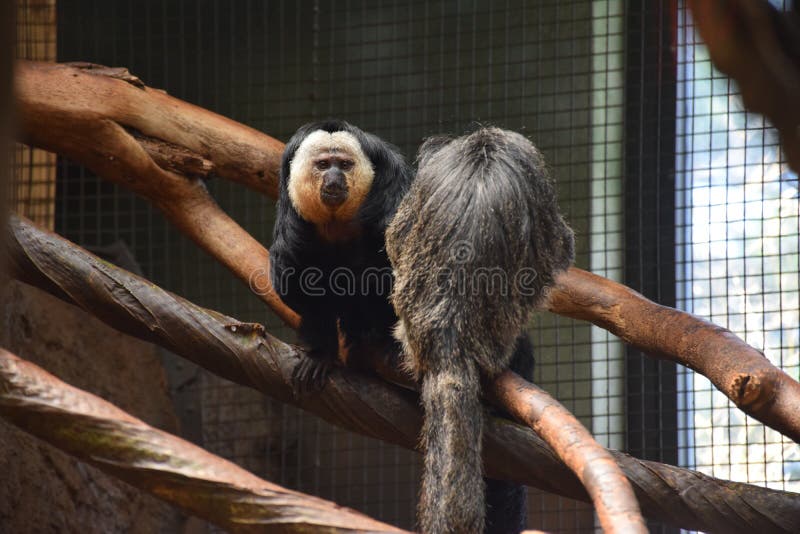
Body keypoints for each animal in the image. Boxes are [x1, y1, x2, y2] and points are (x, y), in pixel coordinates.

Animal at [270, 119, 413, 389]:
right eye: (323, 165)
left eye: (344, 165)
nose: (334, 178)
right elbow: (294, 275)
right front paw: (322, 352)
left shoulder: (391, 182)